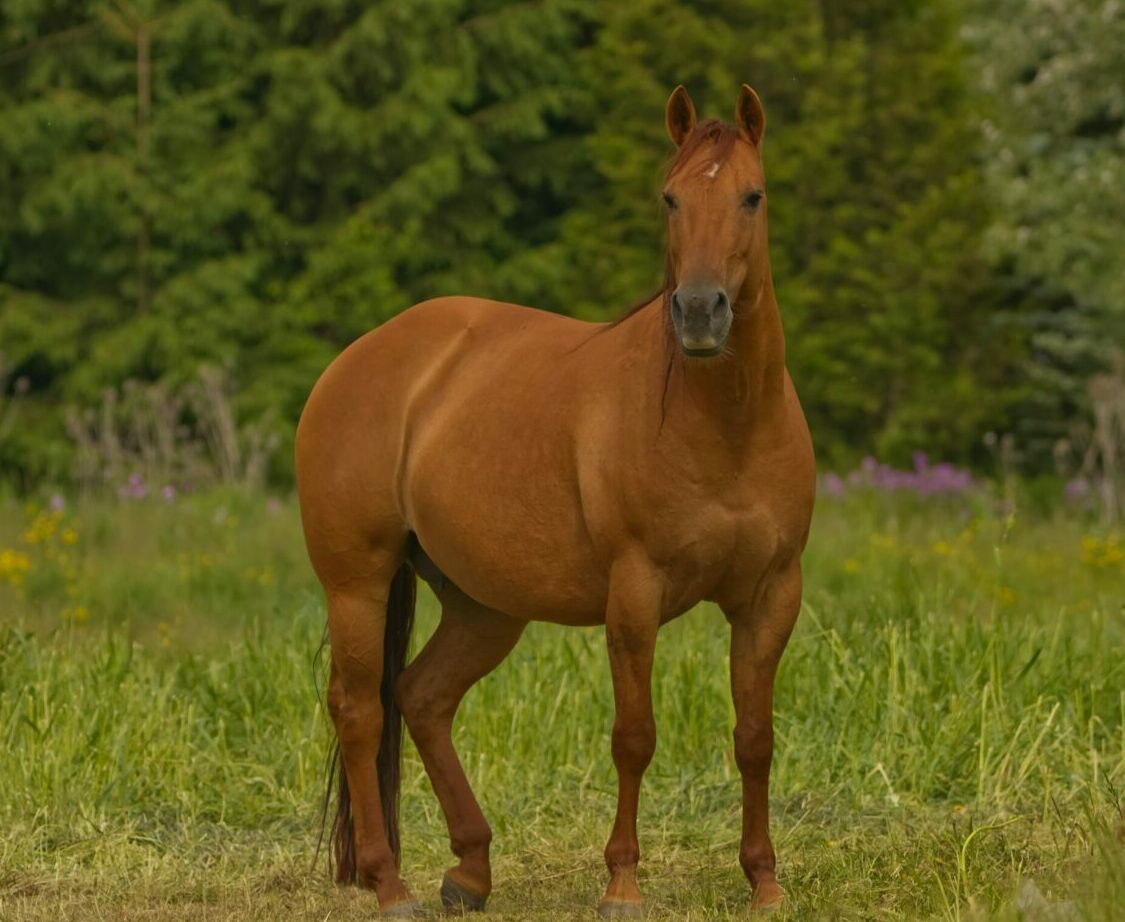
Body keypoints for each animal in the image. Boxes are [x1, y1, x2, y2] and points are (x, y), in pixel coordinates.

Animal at [296, 84, 815, 917]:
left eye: (752, 196)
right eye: (669, 197)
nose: (700, 313)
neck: (725, 427)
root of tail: (363, 356)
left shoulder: (771, 597)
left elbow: (755, 738)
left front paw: (763, 881)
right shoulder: (633, 595)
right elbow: (633, 737)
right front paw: (622, 883)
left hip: (483, 606)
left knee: (422, 697)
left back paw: (471, 870)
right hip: (358, 582)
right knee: (359, 708)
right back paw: (388, 882)